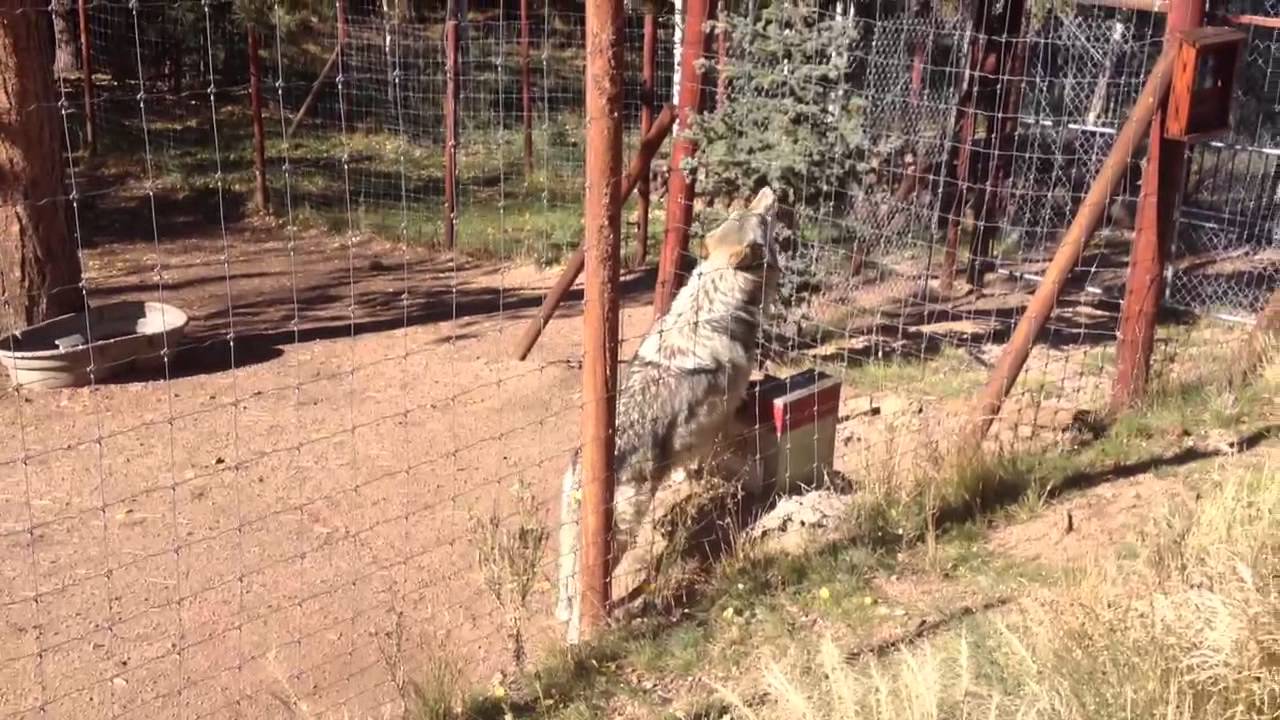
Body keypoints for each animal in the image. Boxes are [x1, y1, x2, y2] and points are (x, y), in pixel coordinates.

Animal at [556, 186, 780, 641]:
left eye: (746, 212)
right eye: (760, 219)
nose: (770, 191)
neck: (716, 300)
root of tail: (582, 467)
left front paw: (686, 477)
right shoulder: (723, 418)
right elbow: (742, 457)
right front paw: (753, 481)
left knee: (565, 587)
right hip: (619, 537)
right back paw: (585, 637)